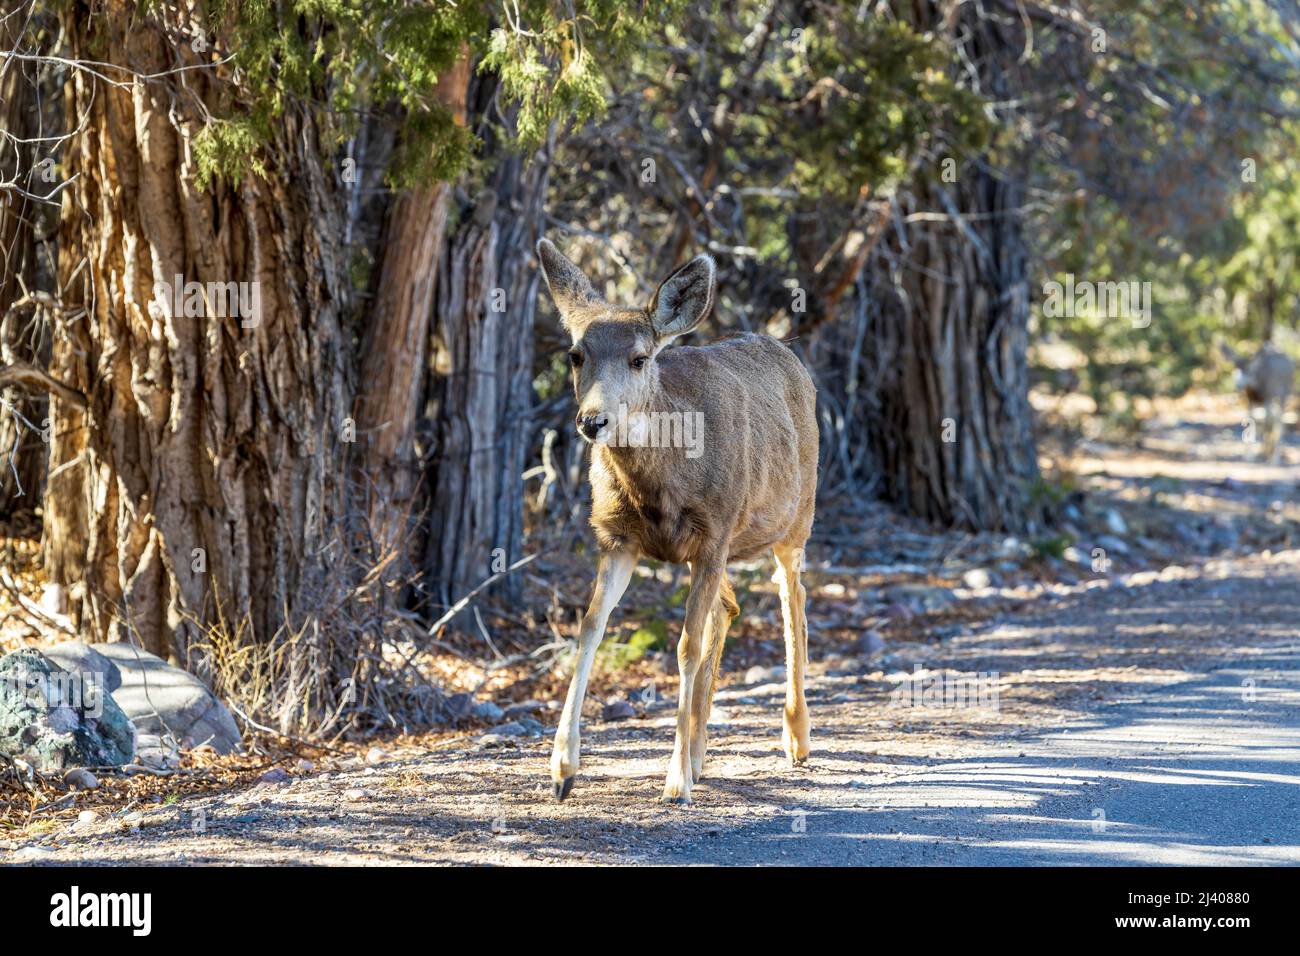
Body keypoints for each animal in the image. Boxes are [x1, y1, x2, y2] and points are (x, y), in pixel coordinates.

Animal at [536, 239, 818, 805]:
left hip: (795, 518)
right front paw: (562, 769)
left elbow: (685, 646)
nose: (593, 420)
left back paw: (795, 736)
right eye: (576, 355)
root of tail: (789, 355)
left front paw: (673, 782)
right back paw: (700, 749)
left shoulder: (713, 535)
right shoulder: (619, 538)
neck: (660, 486)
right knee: (729, 607)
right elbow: (590, 628)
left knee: (791, 598)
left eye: (639, 358)